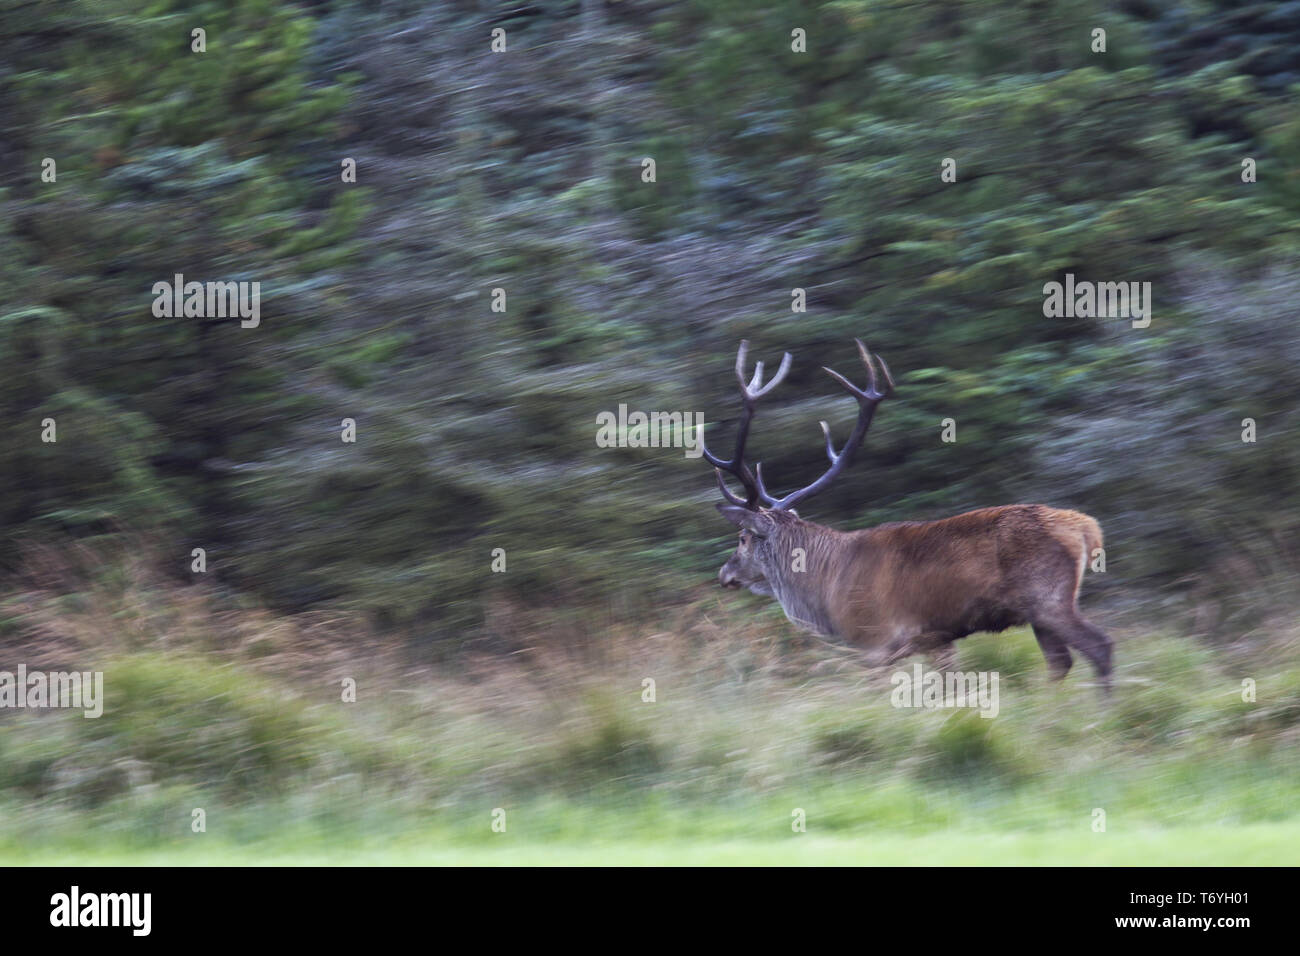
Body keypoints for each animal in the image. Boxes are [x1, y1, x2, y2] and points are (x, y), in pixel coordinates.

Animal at [700, 339, 1113, 690]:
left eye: (743, 538)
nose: (724, 573)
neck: (826, 587)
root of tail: (1088, 528)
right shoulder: (936, 639)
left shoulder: (873, 641)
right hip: (1040, 612)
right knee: (1060, 662)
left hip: (1048, 597)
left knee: (1100, 646)